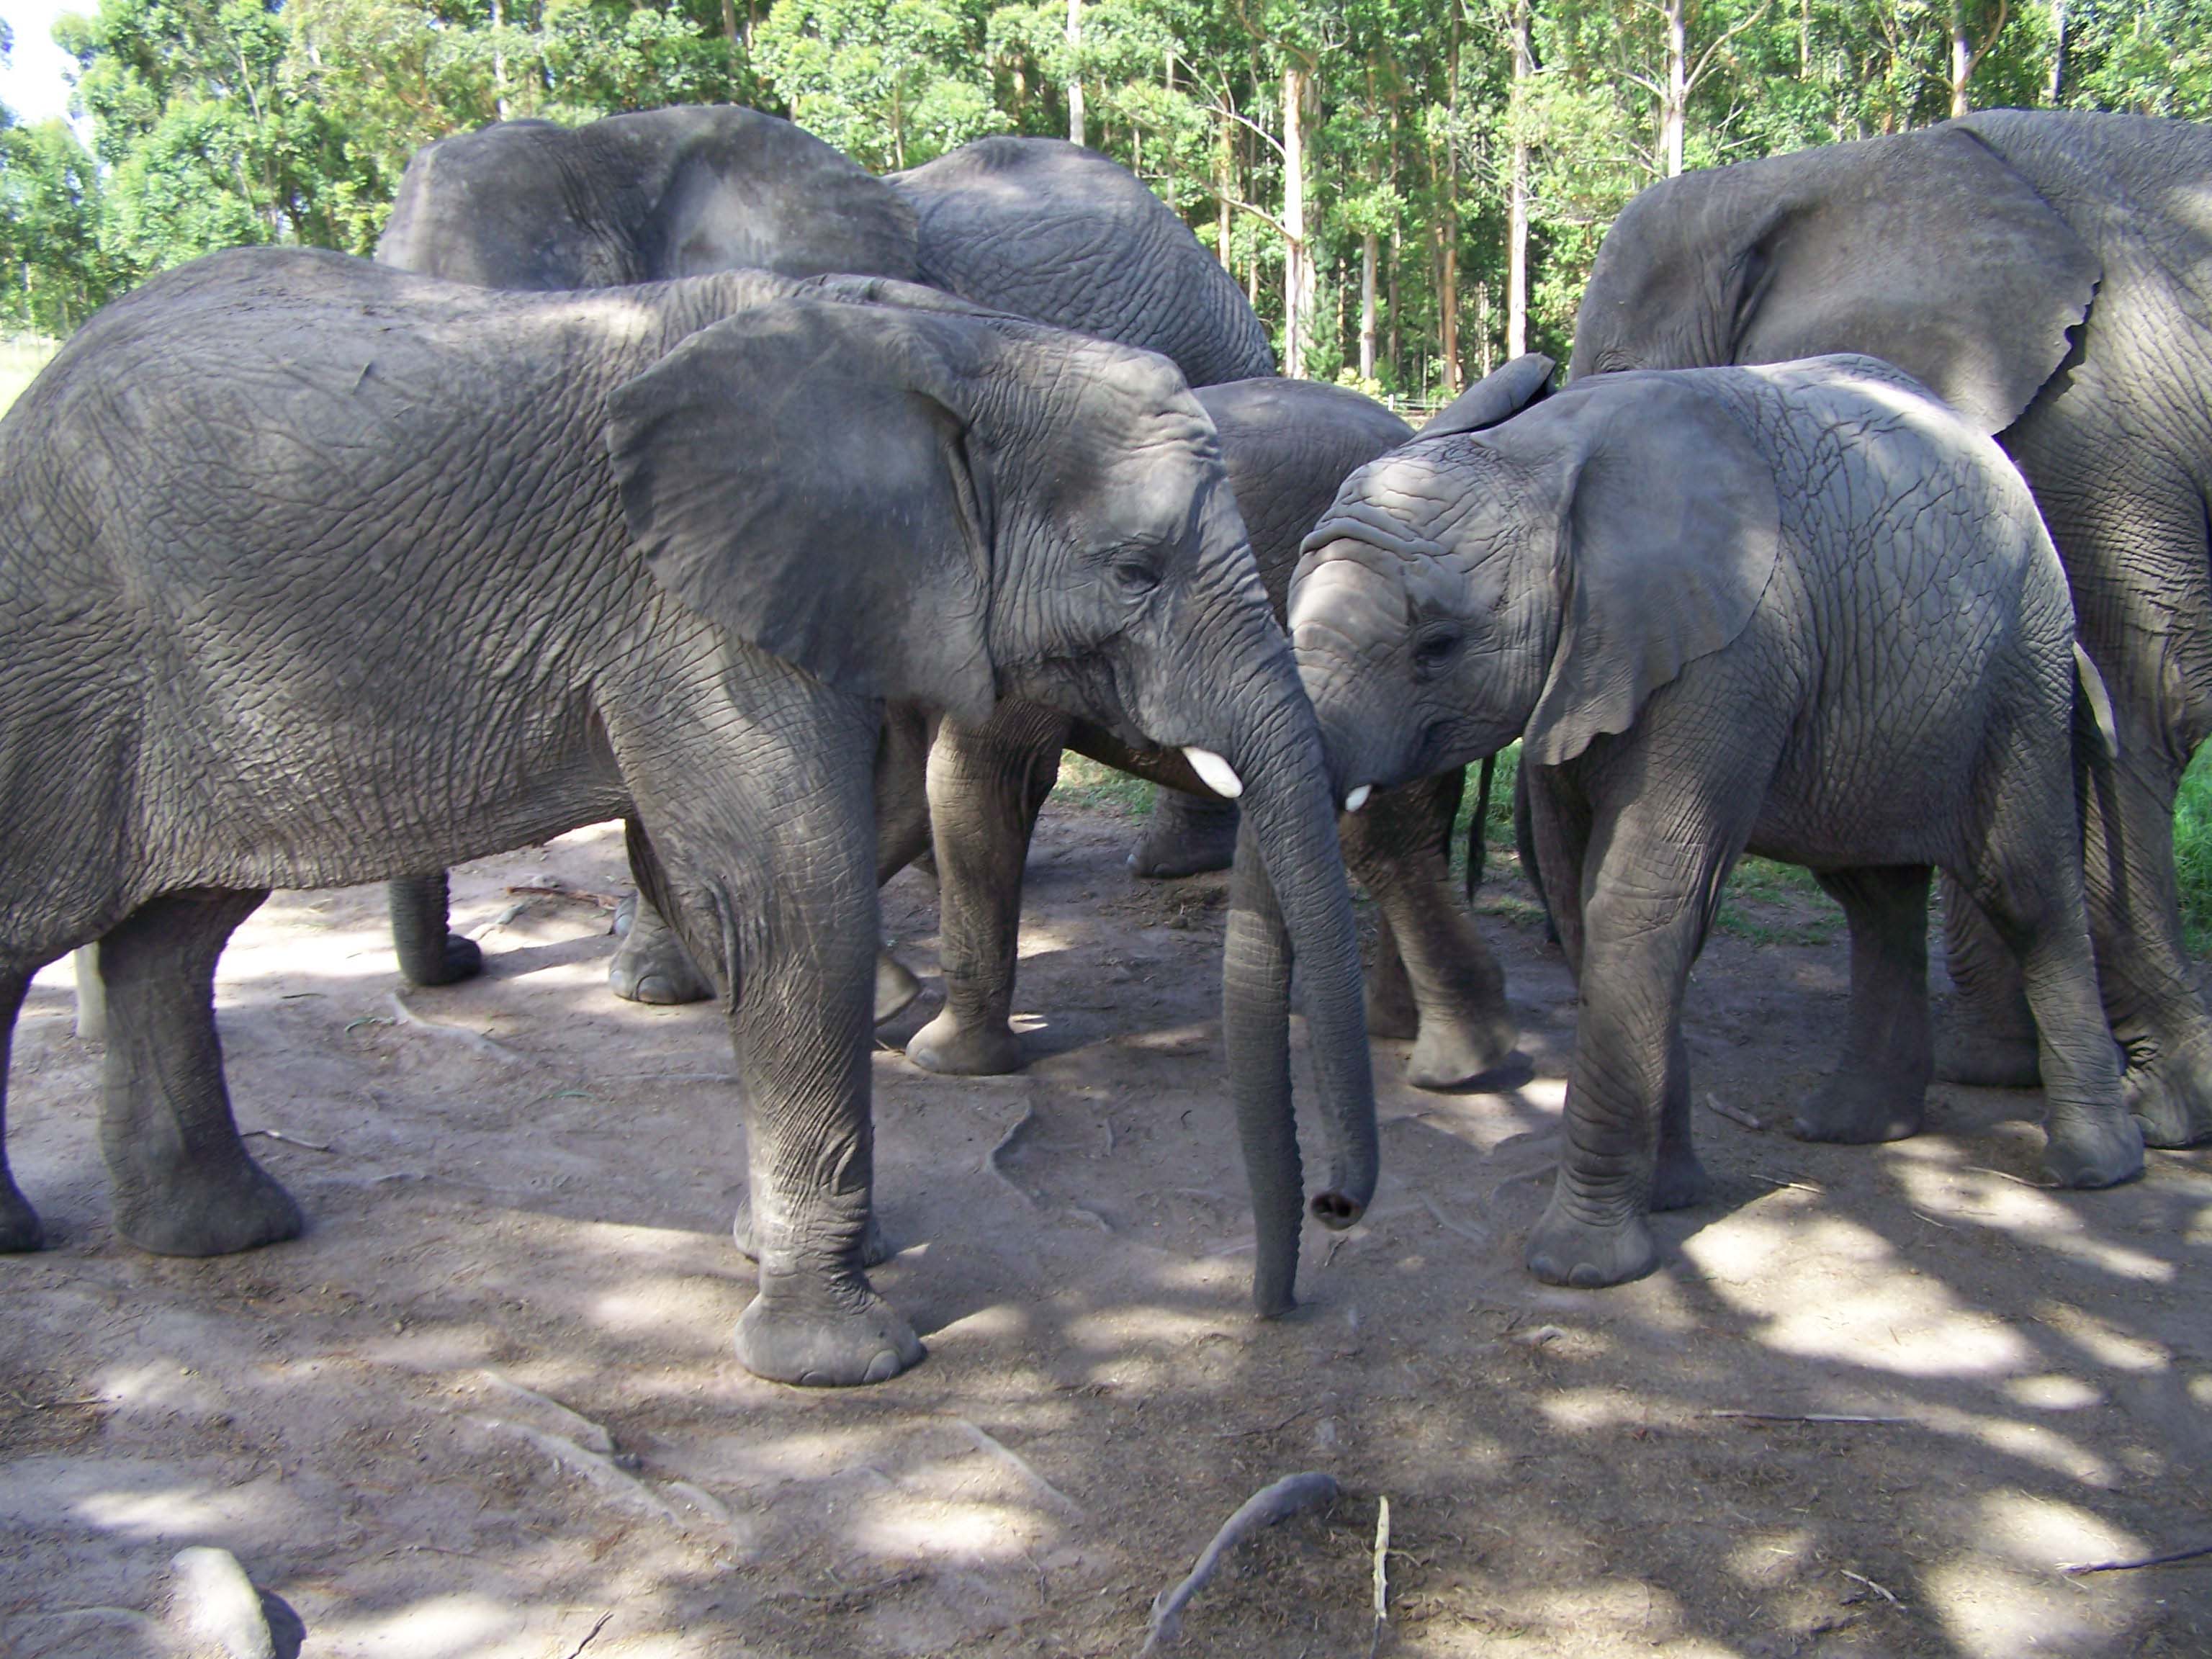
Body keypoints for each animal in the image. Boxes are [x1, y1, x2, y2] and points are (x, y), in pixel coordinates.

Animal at [0, 248, 1377, 1383]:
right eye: (1135, 571)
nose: (1326, 1225)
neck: (951, 339)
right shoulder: (687, 606)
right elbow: (791, 887)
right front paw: (841, 1361)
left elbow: (729, 883)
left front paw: (779, 1248)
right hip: (61, 640)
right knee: (50, 918)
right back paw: (49, 1238)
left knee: (174, 934)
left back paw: (217, 1233)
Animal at [1280, 350, 2144, 1288]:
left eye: (1434, 648)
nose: (1333, 1208)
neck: (1539, 461)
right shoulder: (1589, 667)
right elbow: (1581, 893)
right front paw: (1669, 1200)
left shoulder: (1729, 651)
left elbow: (1639, 900)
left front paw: (1581, 1268)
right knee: (1873, 896)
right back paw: (1853, 1128)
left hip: (2023, 664)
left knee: (2023, 888)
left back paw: (2094, 1170)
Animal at [1568, 109, 2212, 1154]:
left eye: (1622, 381)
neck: (1826, 172)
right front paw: (1991, 1070)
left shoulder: (2095, 417)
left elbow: (2134, 703)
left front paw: (2164, 1116)